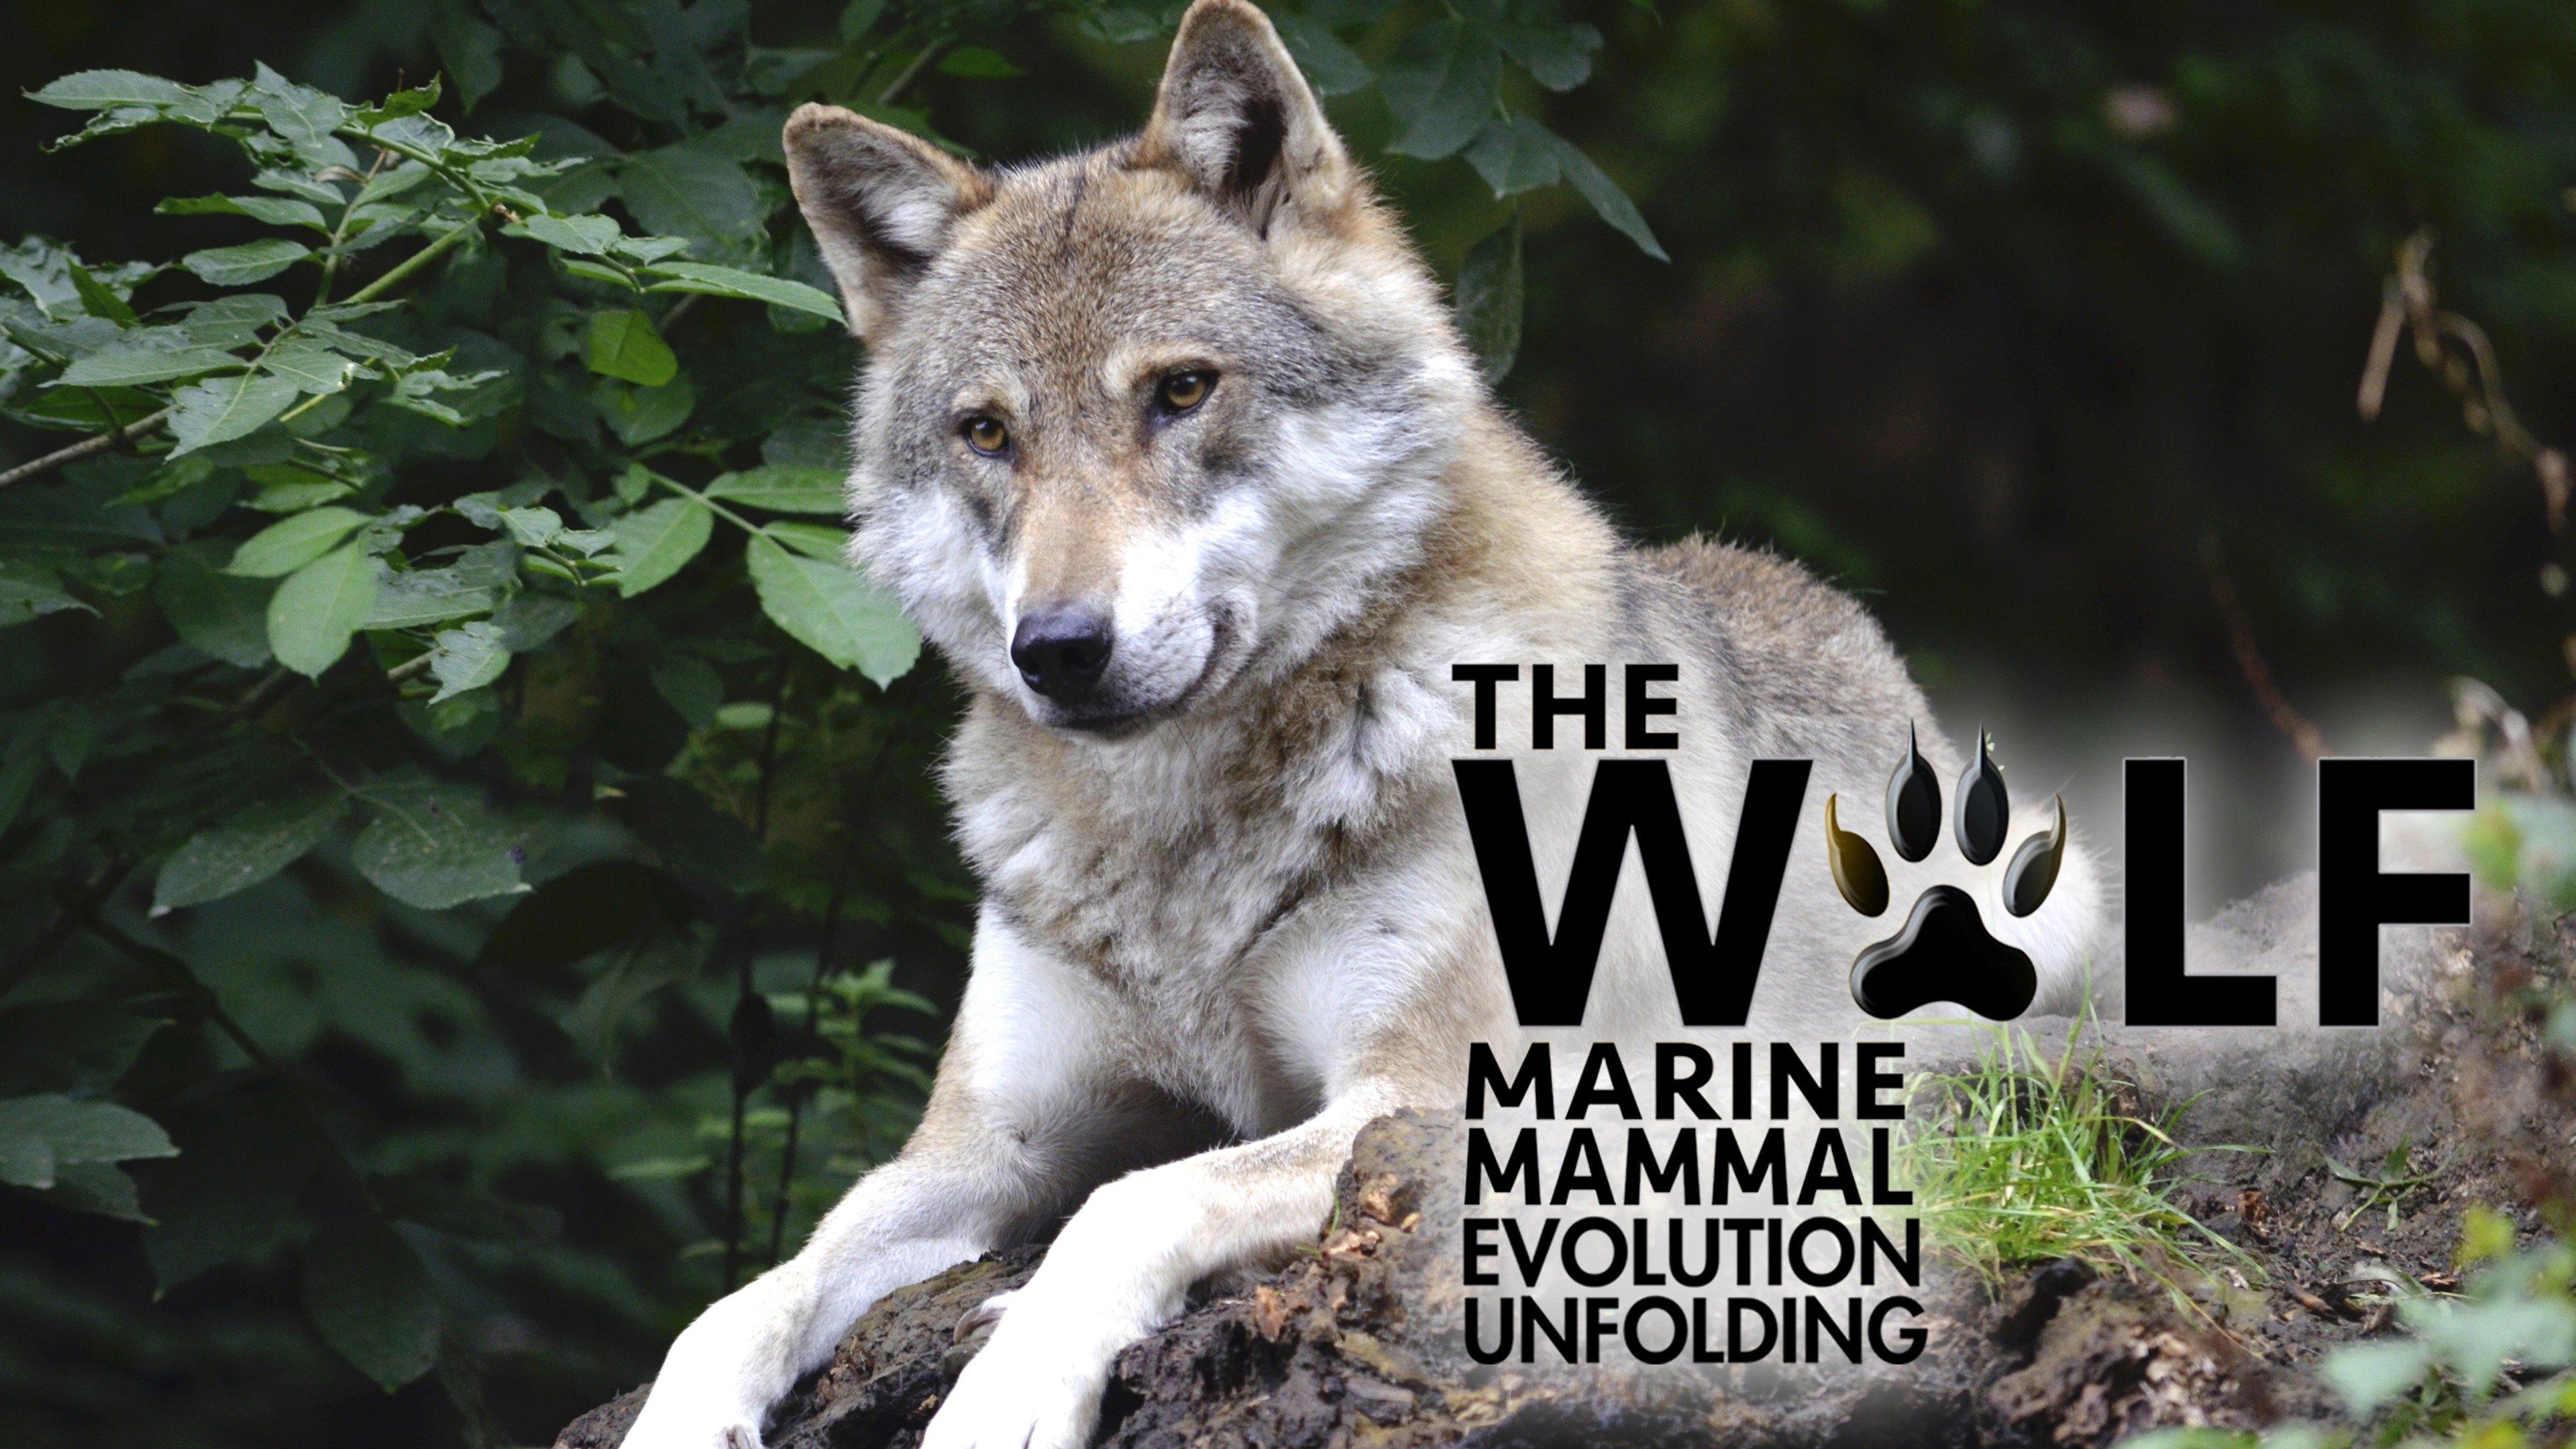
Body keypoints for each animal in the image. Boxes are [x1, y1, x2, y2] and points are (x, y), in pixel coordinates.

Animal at [619, 2, 2106, 1445]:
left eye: (1180, 391)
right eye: (988, 434)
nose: (1061, 650)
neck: (1182, 846)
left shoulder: (1433, 1101)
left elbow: (1136, 1198)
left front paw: (1007, 1388)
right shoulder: (985, 1148)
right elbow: (752, 1290)